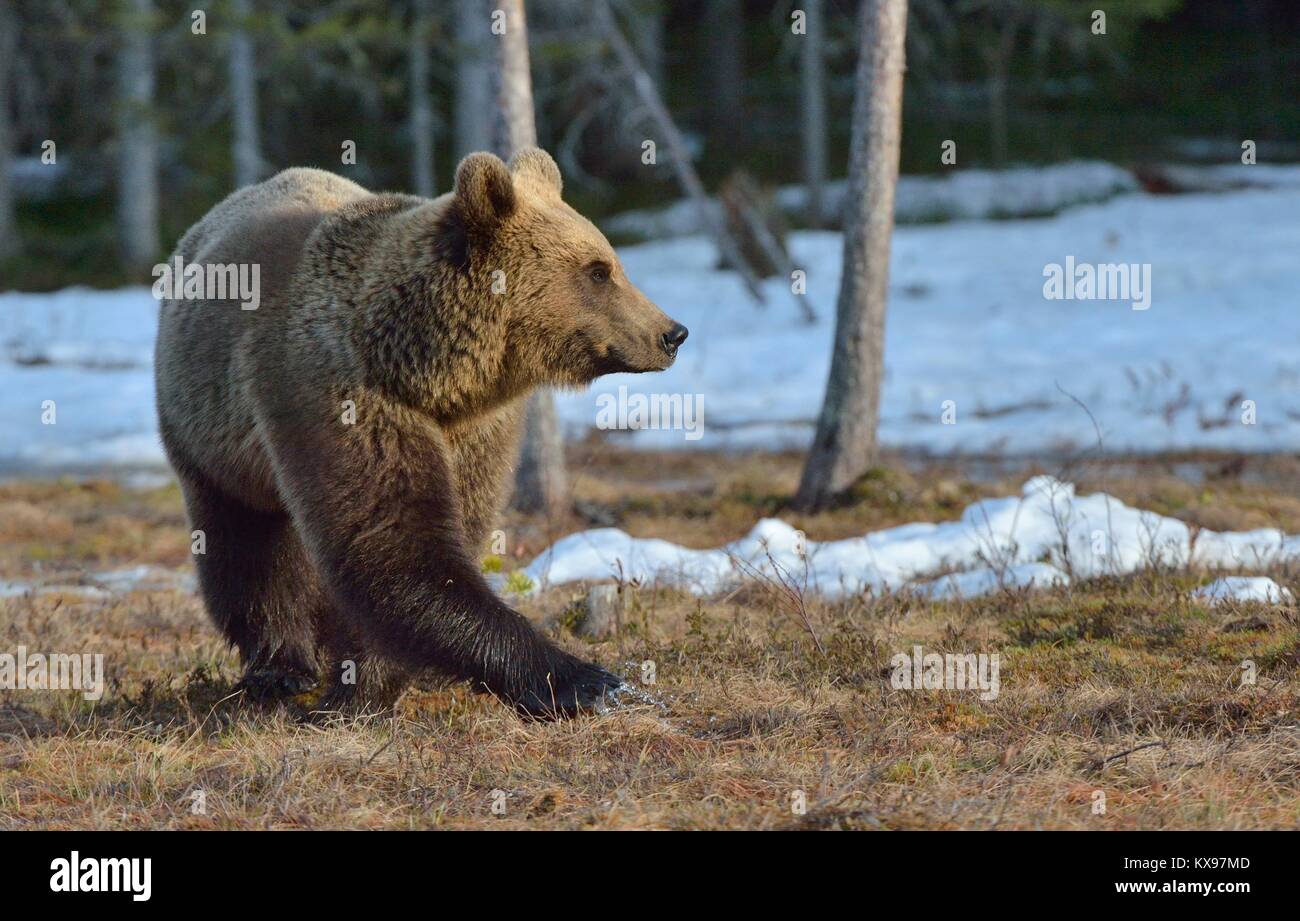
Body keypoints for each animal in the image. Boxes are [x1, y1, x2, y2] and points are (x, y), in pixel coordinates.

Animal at [153, 147, 688, 717]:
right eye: (599, 271)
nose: (671, 333)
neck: (425, 371)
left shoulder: (479, 427)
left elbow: (451, 527)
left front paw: (375, 676)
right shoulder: (342, 397)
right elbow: (392, 540)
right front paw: (582, 678)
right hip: (208, 432)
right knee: (246, 544)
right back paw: (280, 666)